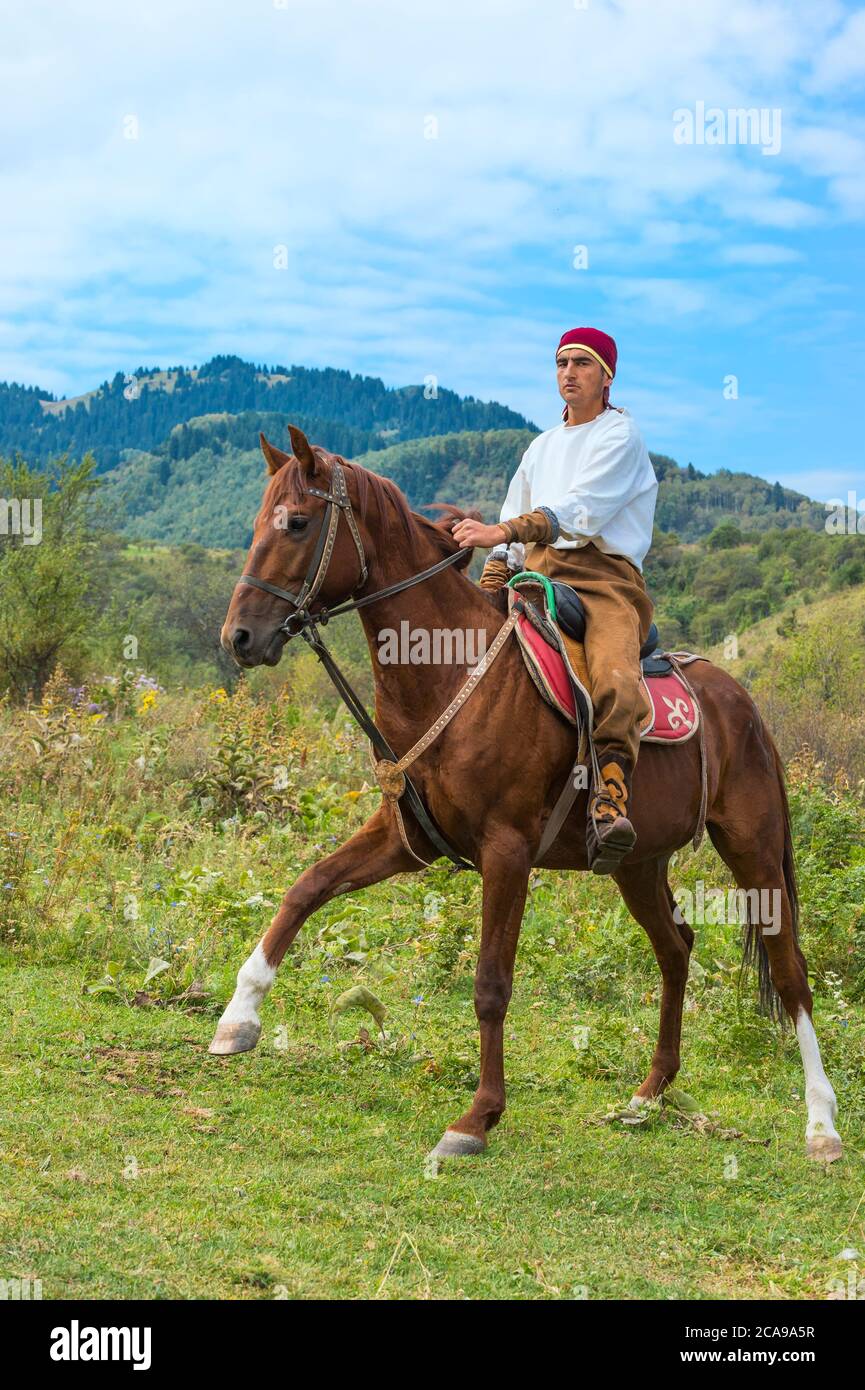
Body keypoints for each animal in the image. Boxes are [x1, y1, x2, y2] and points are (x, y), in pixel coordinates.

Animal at [209, 424, 842, 1164]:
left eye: (298, 524)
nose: (239, 637)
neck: (447, 668)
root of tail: (741, 702)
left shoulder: (506, 850)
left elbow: (490, 982)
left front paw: (476, 1118)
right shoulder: (404, 838)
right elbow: (304, 889)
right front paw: (238, 1016)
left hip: (753, 849)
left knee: (788, 967)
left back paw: (821, 1125)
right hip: (636, 863)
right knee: (676, 946)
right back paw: (648, 1094)